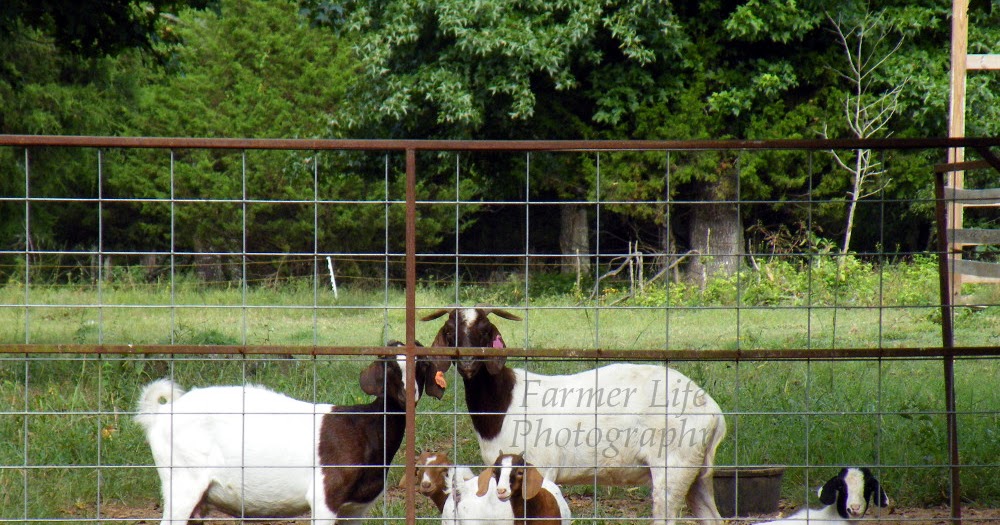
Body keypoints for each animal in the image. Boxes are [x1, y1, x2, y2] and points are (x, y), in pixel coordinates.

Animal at [135, 351, 444, 525]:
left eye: (422, 364)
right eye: (389, 366)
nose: (409, 394)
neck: (365, 427)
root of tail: (160, 413)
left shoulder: (356, 509)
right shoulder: (324, 498)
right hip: (181, 479)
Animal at [423, 307, 727, 525]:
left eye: (485, 330)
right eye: (450, 330)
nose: (468, 363)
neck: (504, 404)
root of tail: (714, 412)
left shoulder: (540, 465)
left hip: (673, 466)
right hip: (696, 471)